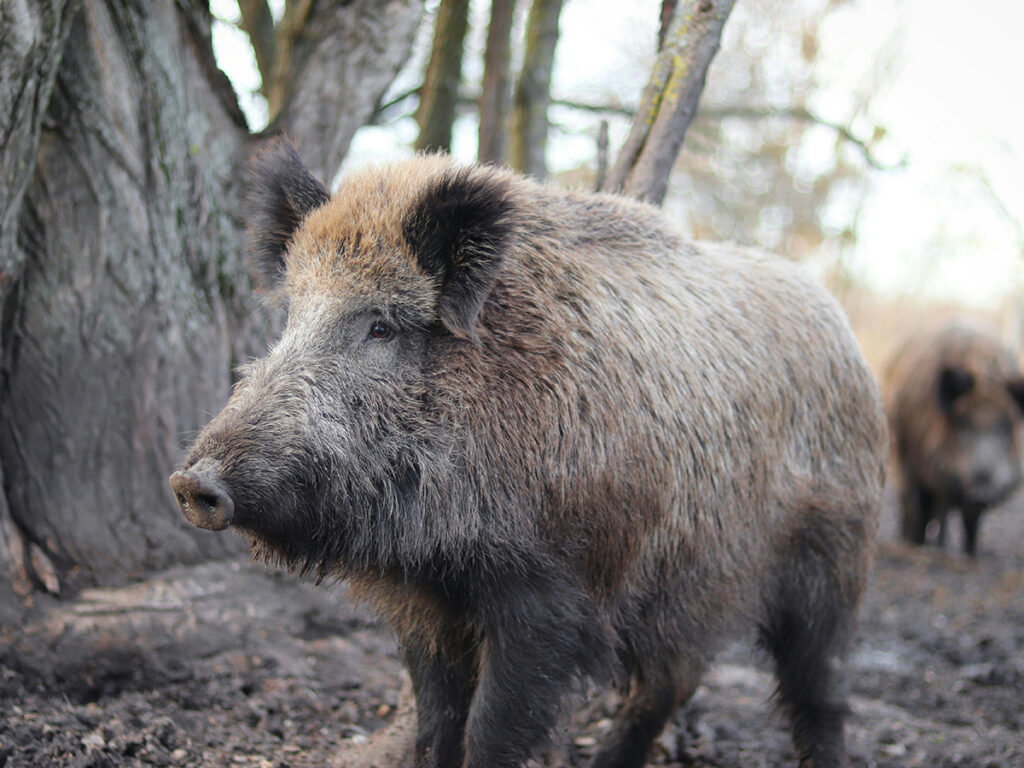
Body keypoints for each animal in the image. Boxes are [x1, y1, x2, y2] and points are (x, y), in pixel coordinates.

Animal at [170, 138, 887, 768]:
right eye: (292, 316)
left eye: (380, 326)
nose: (191, 482)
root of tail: (848, 337)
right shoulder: (426, 603)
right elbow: (436, 726)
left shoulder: (552, 592)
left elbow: (493, 730)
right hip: (693, 582)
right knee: (670, 681)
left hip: (834, 561)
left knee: (820, 694)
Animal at [885, 320, 1024, 556]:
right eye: (962, 425)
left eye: (1005, 429)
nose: (981, 493)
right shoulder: (917, 463)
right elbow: (926, 507)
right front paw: (928, 546)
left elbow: (970, 521)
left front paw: (970, 554)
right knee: (914, 504)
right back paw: (913, 541)